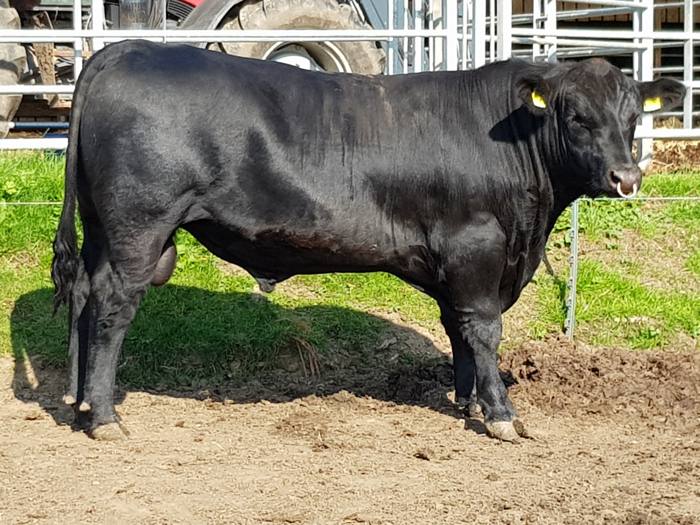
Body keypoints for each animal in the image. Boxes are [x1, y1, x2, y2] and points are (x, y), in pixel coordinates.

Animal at [51, 40, 685, 441]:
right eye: (575, 116)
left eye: (633, 116)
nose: (626, 178)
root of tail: (122, 49)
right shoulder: (476, 246)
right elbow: (484, 330)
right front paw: (501, 413)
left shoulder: (454, 262)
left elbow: (458, 330)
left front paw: (468, 400)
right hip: (140, 227)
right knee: (112, 307)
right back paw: (104, 416)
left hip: (102, 229)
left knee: (83, 294)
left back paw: (76, 401)